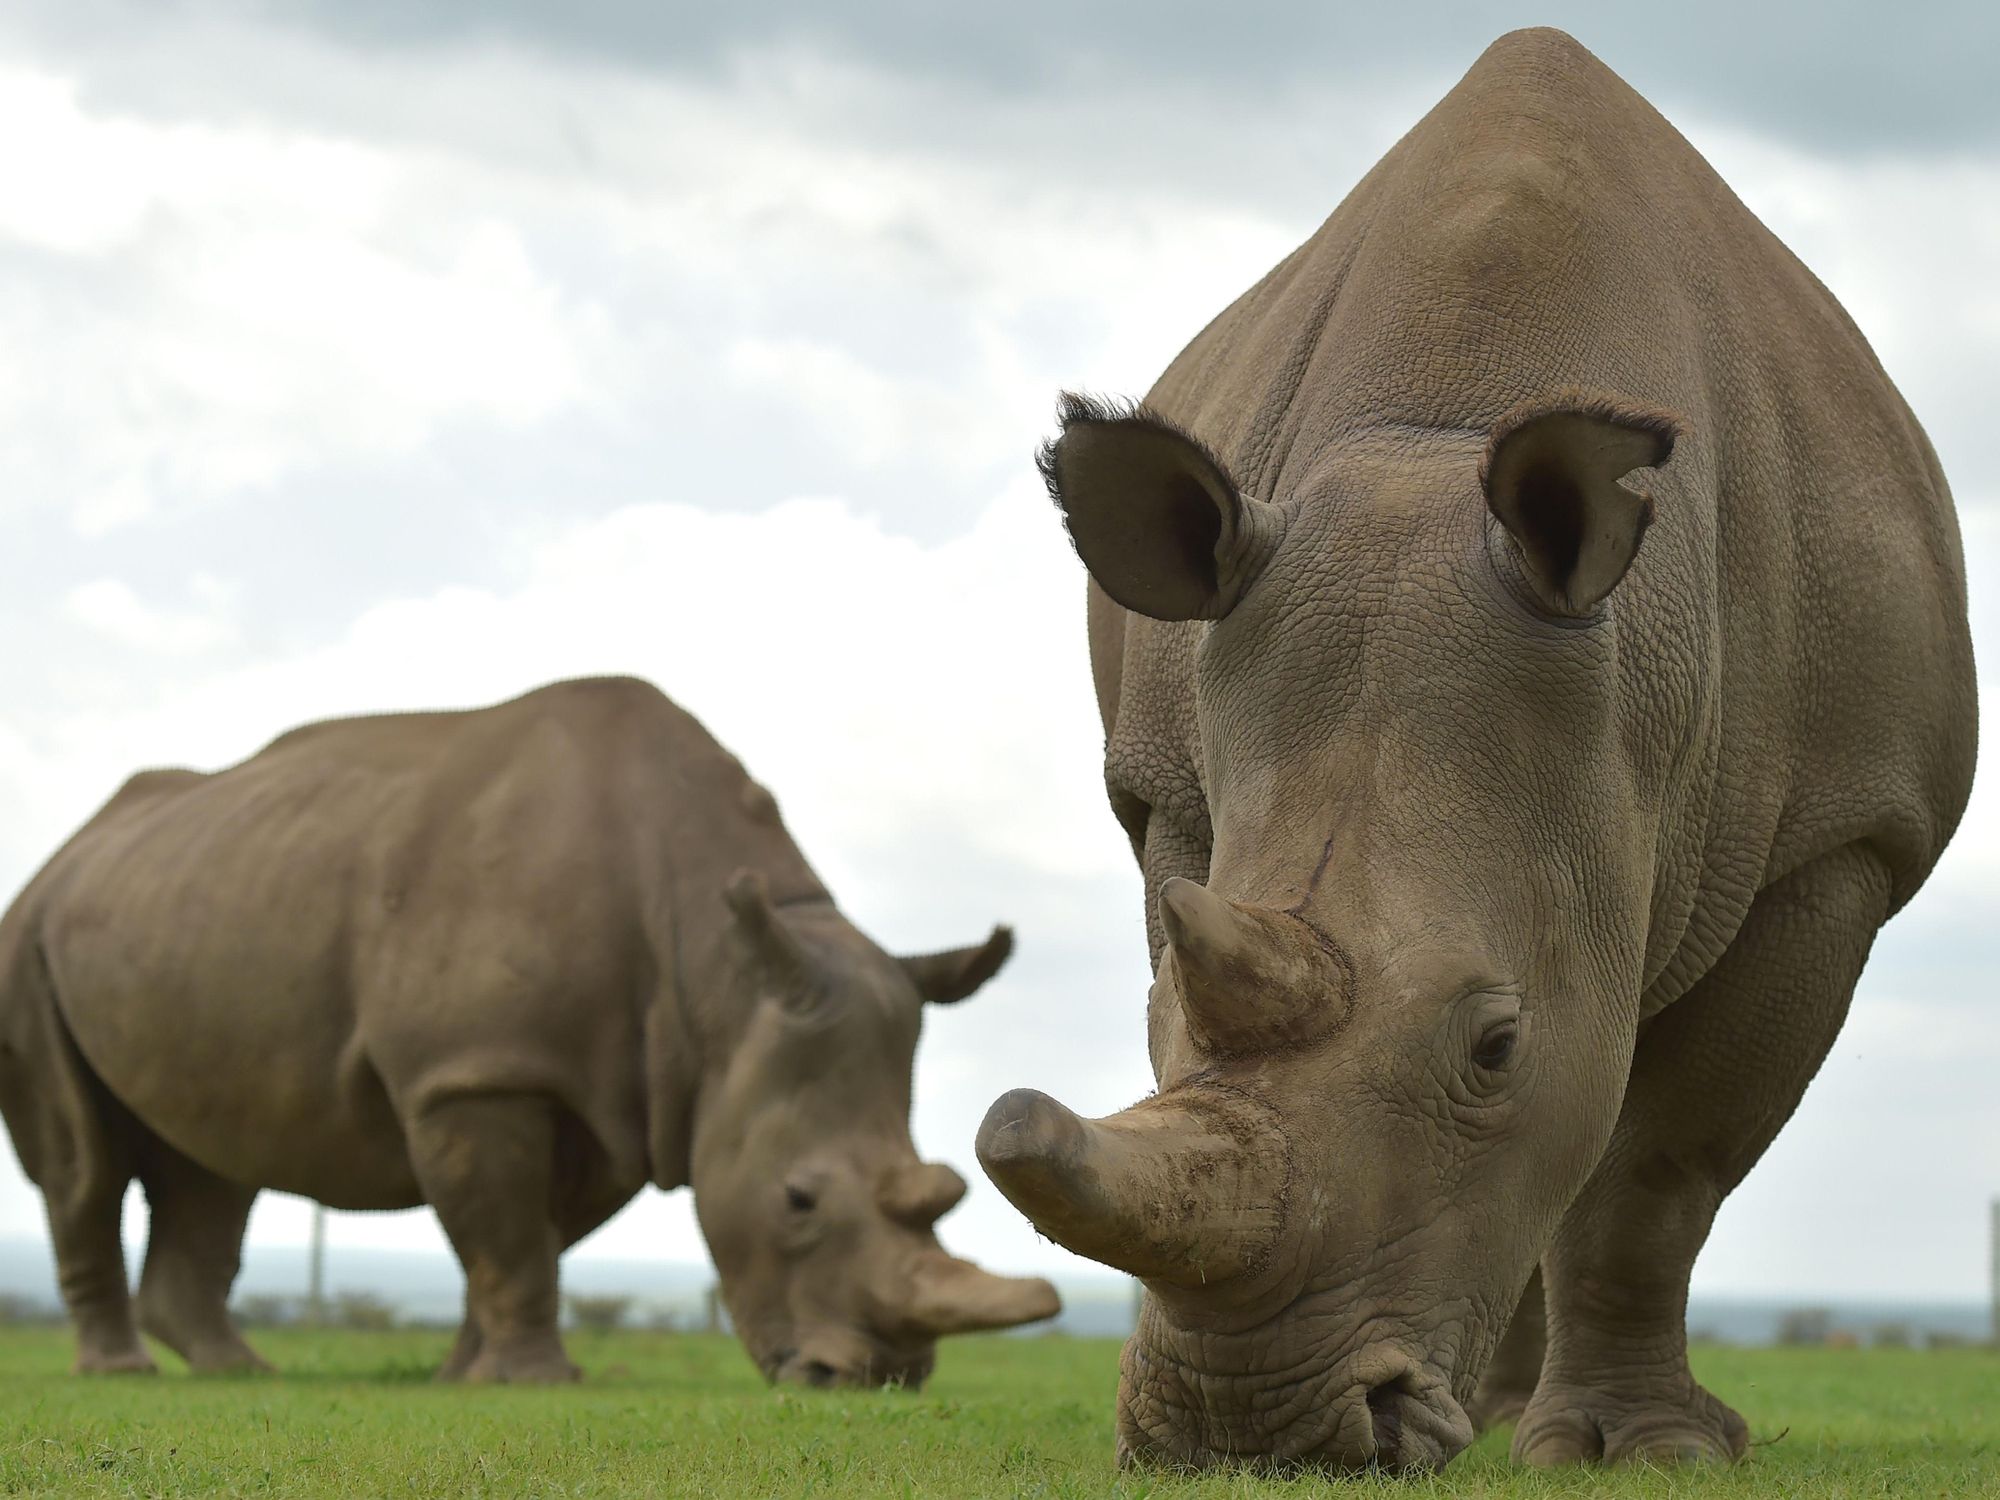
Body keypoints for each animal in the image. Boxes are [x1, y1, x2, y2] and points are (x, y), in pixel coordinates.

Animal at [0, 675, 1058, 1385]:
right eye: (797, 1200)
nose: (878, 1379)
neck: (715, 977)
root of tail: (71, 851)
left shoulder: (621, 1088)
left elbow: (525, 1236)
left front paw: (468, 1379)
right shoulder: (478, 1071)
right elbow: (508, 1234)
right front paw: (531, 1382)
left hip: (186, 899)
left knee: (213, 1161)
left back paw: (238, 1374)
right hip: (28, 937)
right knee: (83, 1167)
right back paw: (126, 1375)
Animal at [976, 28, 1975, 1474]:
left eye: (1494, 1045)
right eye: (1154, 1020)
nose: (1247, 1432)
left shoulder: (1840, 839)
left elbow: (1655, 1165)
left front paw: (1650, 1455)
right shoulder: (1172, 796)